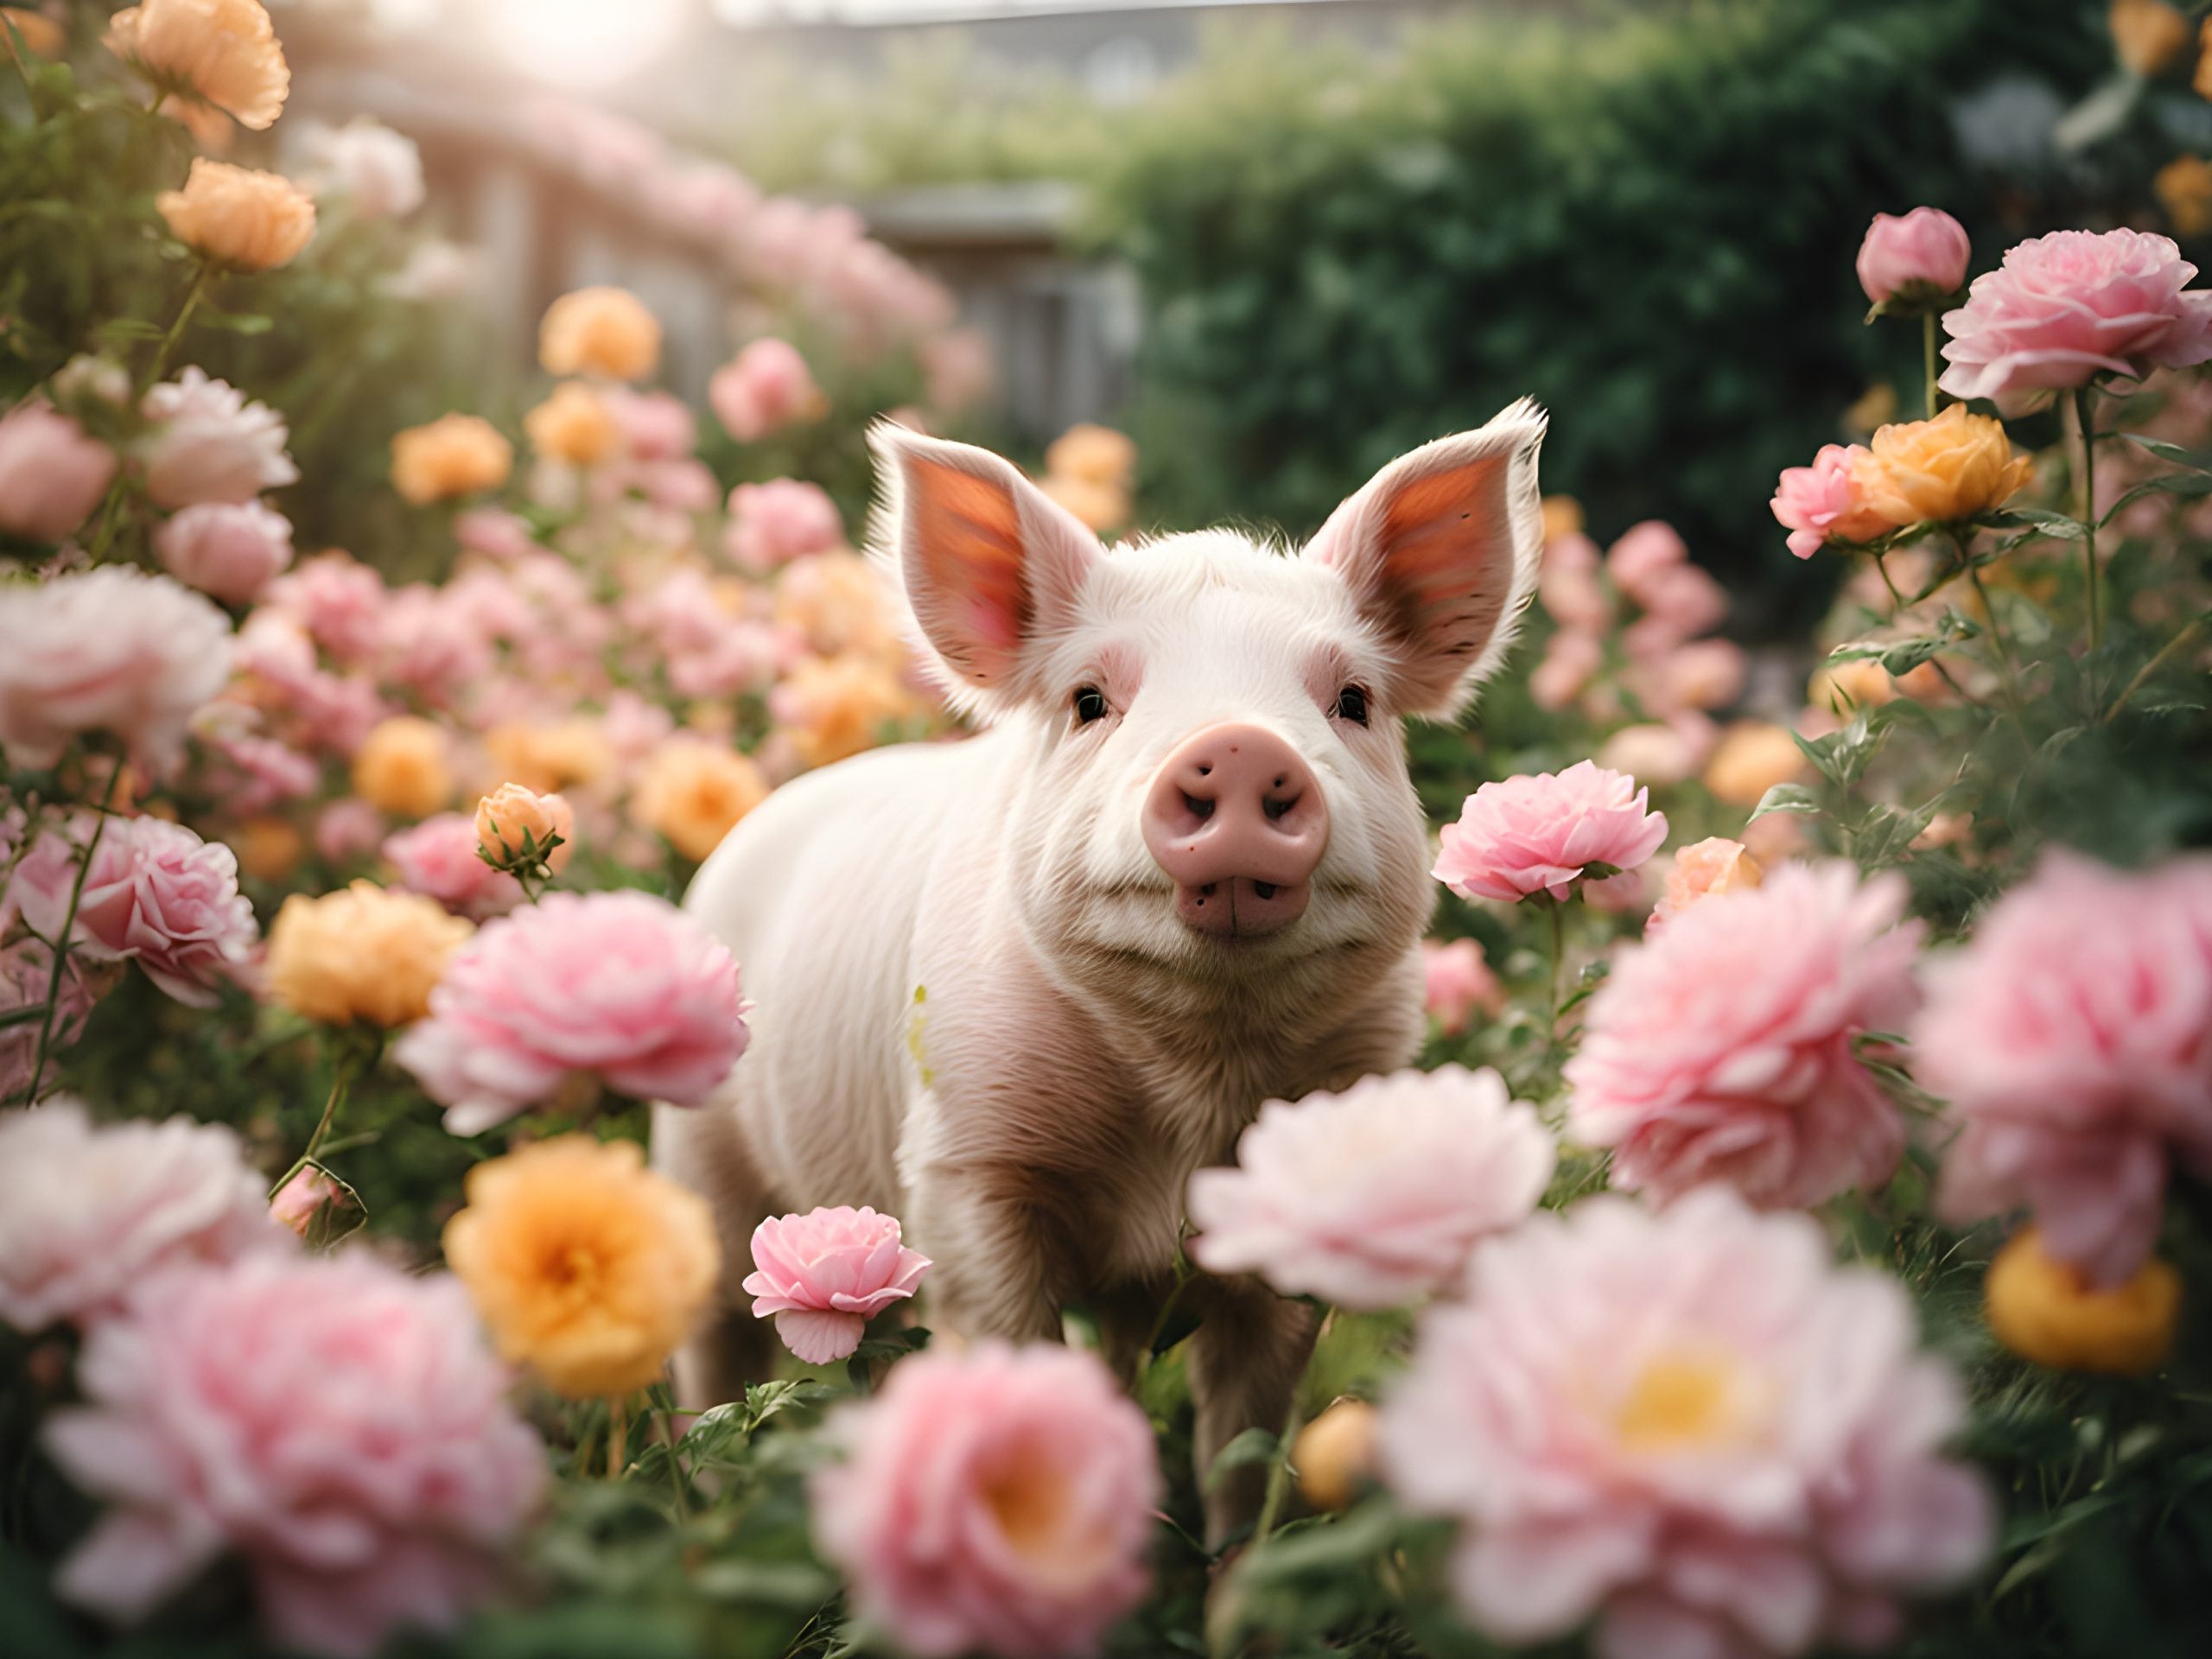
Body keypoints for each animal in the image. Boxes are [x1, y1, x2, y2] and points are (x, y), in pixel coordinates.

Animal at [654, 400, 1546, 1538]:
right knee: (712, 1347)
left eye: (1351, 699)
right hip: (700, 1158)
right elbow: (1013, 1360)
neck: (1190, 1084)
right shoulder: (963, 1164)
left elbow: (1244, 1442)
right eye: (1088, 700)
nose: (1243, 745)